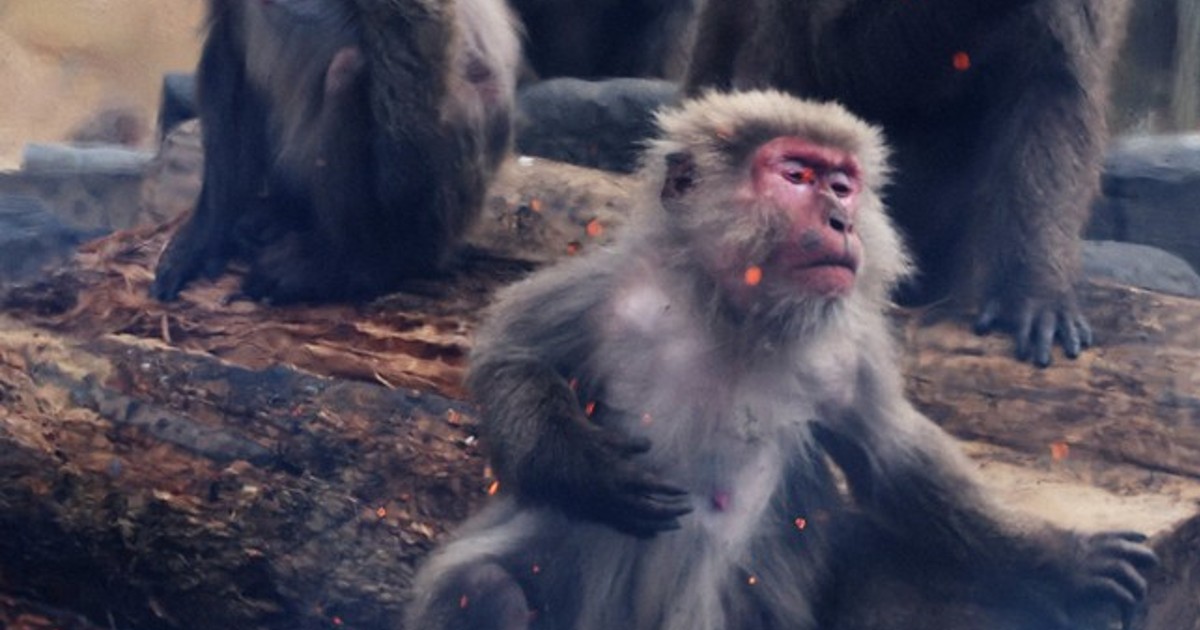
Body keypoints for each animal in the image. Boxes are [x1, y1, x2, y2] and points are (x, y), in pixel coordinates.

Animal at [150, 0, 520, 304]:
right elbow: (227, 37)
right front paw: (208, 235)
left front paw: (376, 262)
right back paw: (289, 213)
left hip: (451, 200)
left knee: (354, 71)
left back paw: (356, 263)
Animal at [405, 91, 1157, 629]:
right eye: (796, 175)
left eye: (844, 185)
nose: (841, 221)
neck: (735, 314)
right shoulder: (611, 287)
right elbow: (511, 358)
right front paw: (579, 466)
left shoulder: (844, 356)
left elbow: (894, 461)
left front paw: (1058, 559)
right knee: (485, 588)